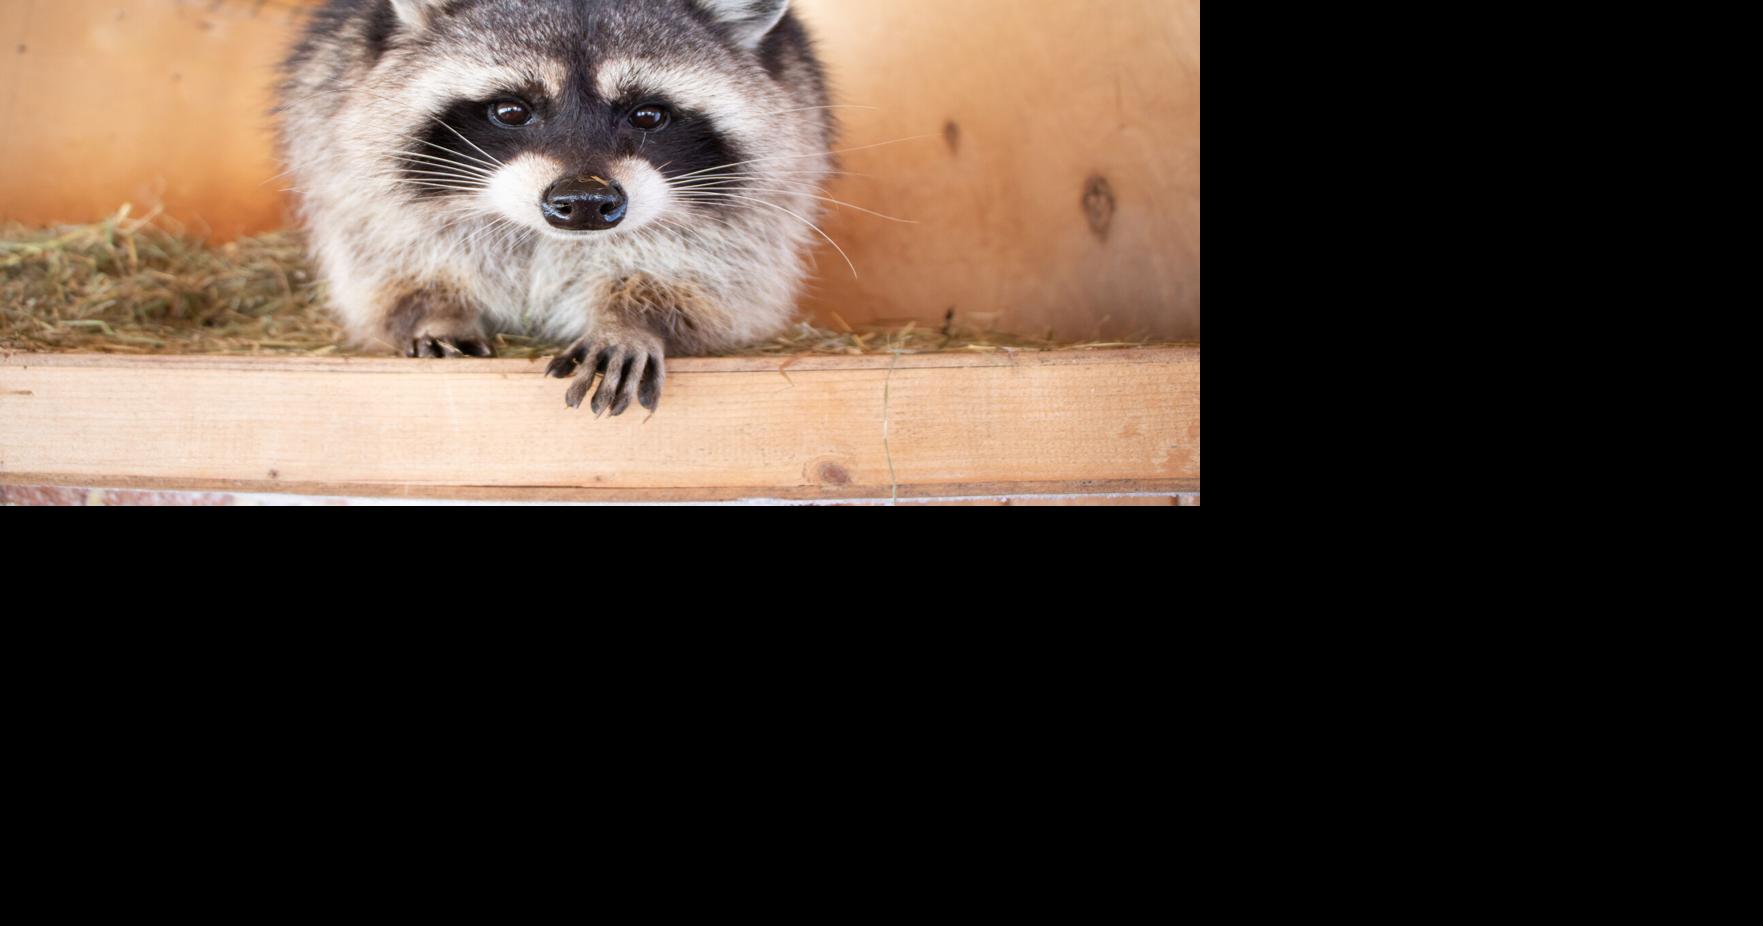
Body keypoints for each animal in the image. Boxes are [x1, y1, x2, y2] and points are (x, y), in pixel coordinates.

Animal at [279, 0, 833, 415]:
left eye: (648, 115)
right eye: (510, 110)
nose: (585, 202)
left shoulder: (767, 192)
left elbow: (721, 273)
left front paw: (632, 320)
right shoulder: (346, 158)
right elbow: (388, 254)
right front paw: (435, 309)